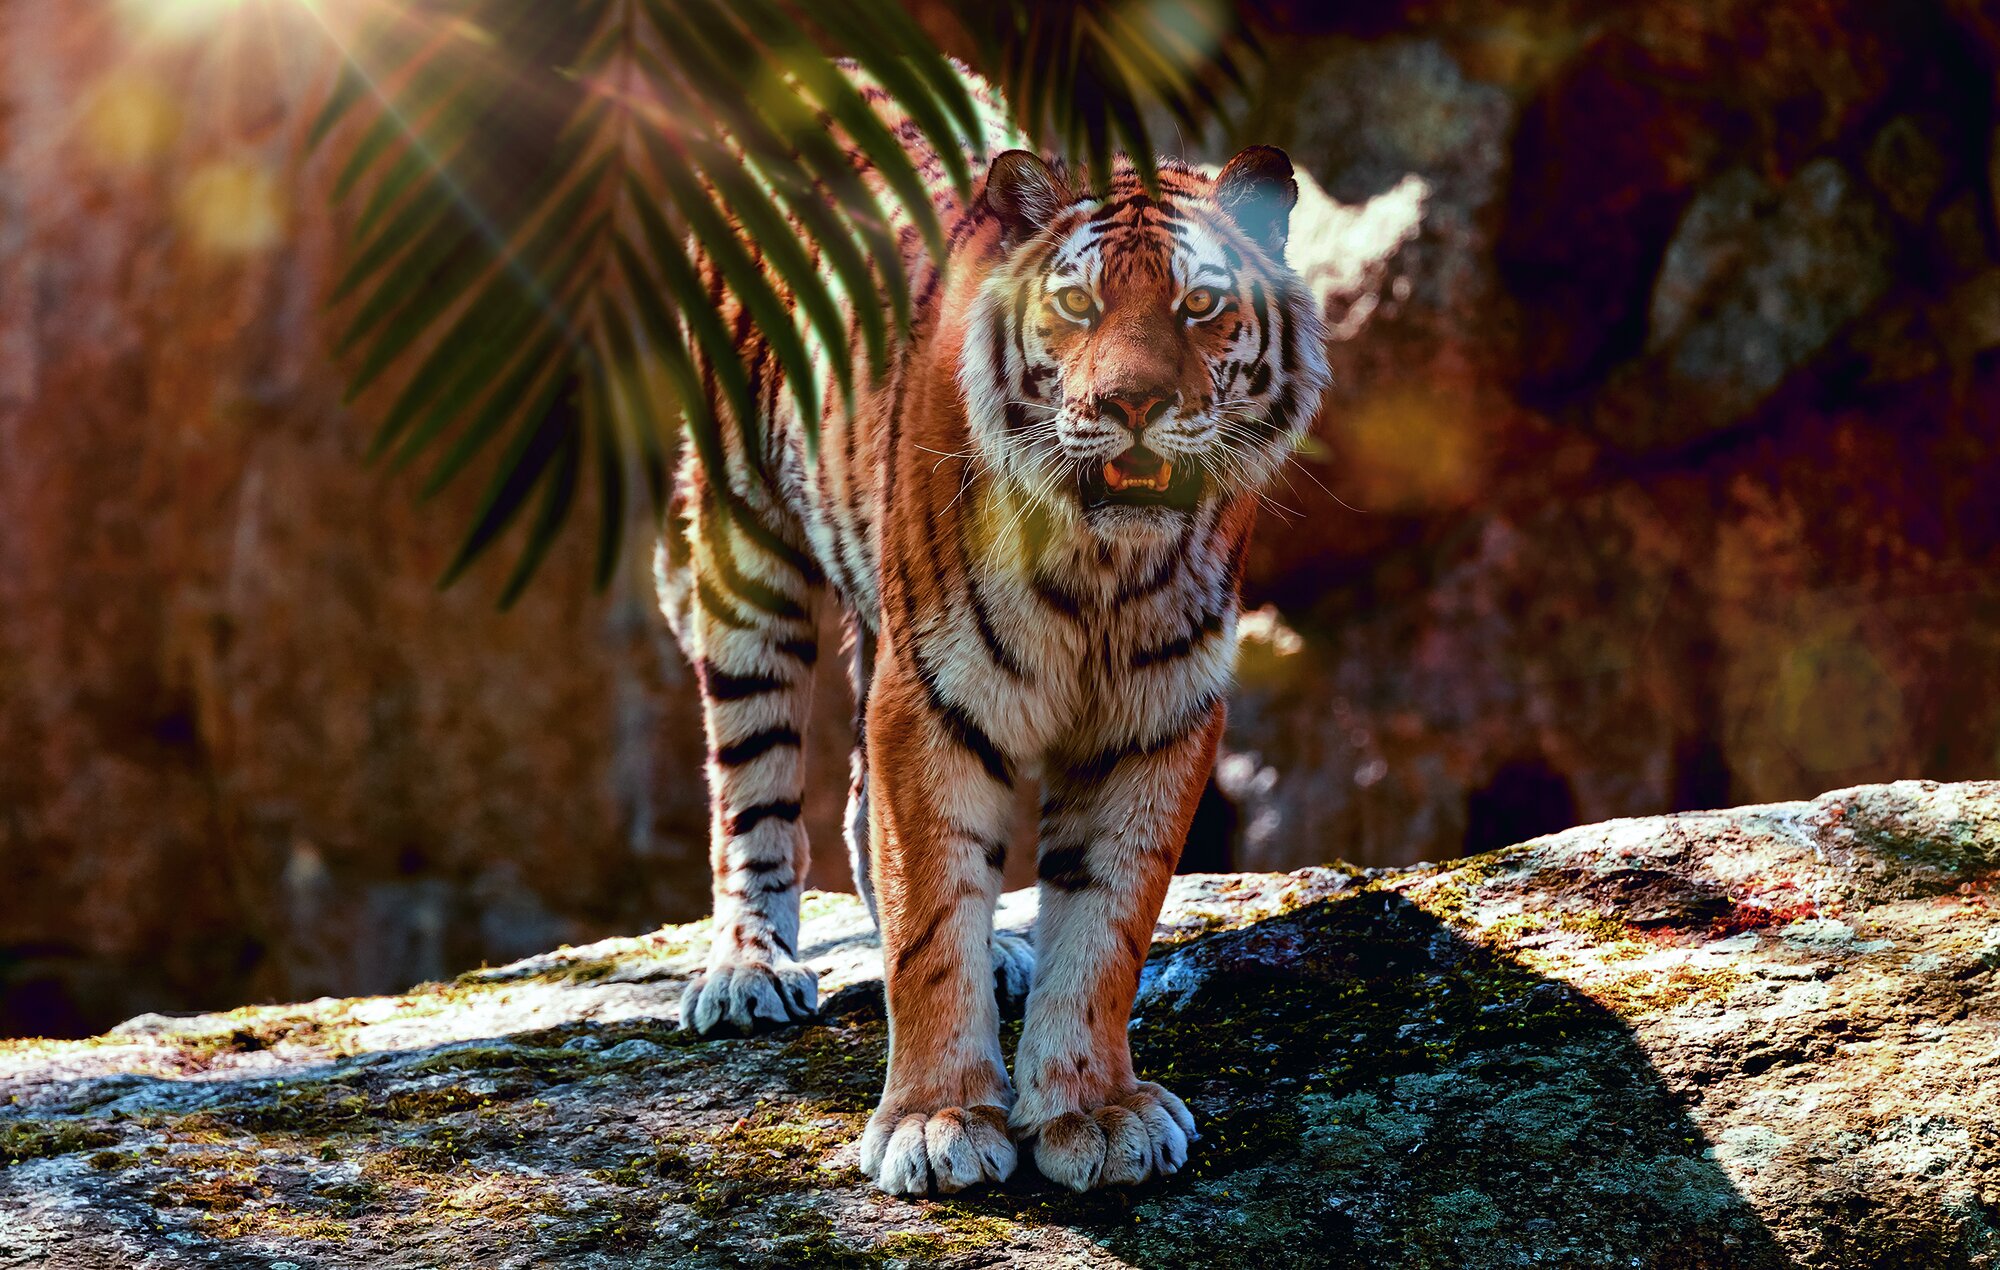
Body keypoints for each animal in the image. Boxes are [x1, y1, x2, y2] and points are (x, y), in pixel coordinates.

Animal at [656, 67, 1330, 1196]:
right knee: (755, 787)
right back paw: (749, 968)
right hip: (743, 544)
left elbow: (1105, 926)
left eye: (1197, 306)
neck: (1102, 568)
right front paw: (936, 1120)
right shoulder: (929, 694)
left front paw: (1094, 1109)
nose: (1131, 403)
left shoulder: (1159, 712)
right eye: (1076, 304)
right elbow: (931, 914)